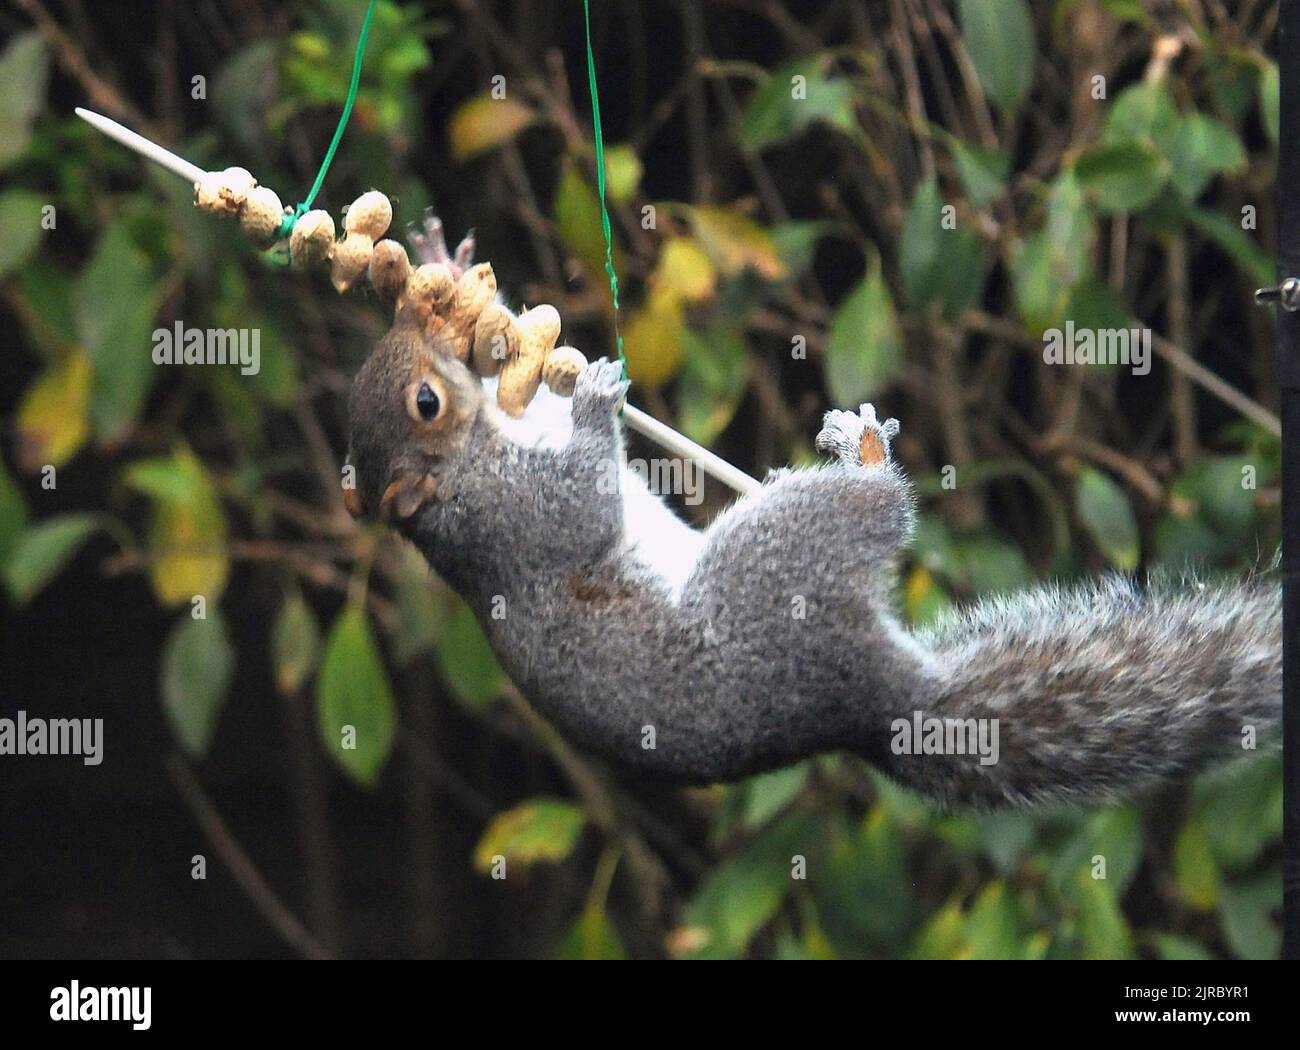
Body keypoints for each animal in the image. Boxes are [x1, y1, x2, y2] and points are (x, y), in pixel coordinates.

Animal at [345, 310, 1281, 808]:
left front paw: (445, 263)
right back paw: (867, 466)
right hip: (776, 558)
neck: (466, 463)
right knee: (877, 512)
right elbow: (582, 504)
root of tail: (872, 699)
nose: (421, 326)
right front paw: (596, 403)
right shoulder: (516, 523)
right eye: (424, 403)